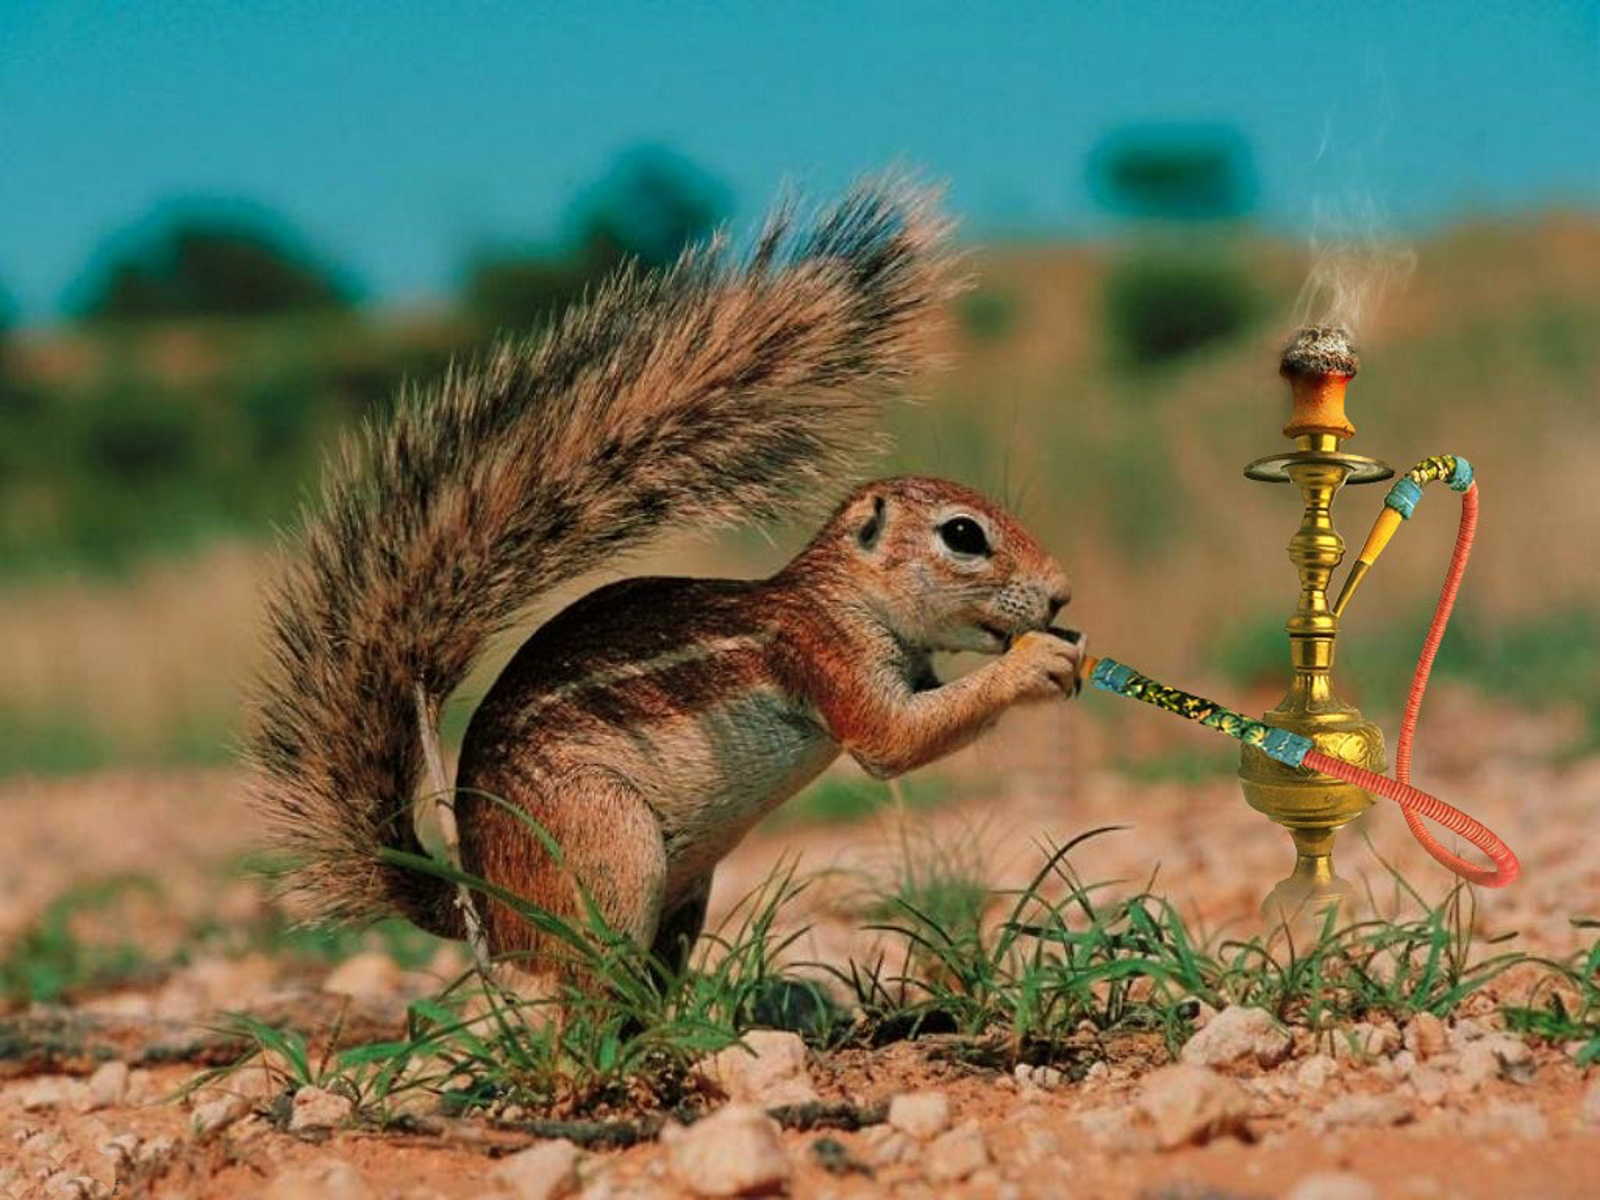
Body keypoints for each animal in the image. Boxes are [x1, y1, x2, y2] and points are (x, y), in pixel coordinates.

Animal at [250, 178, 1085, 983]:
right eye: (963, 535)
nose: (1061, 593)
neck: (842, 597)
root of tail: (482, 902)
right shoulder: (822, 654)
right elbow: (894, 741)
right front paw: (1037, 662)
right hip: (606, 847)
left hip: (683, 892)